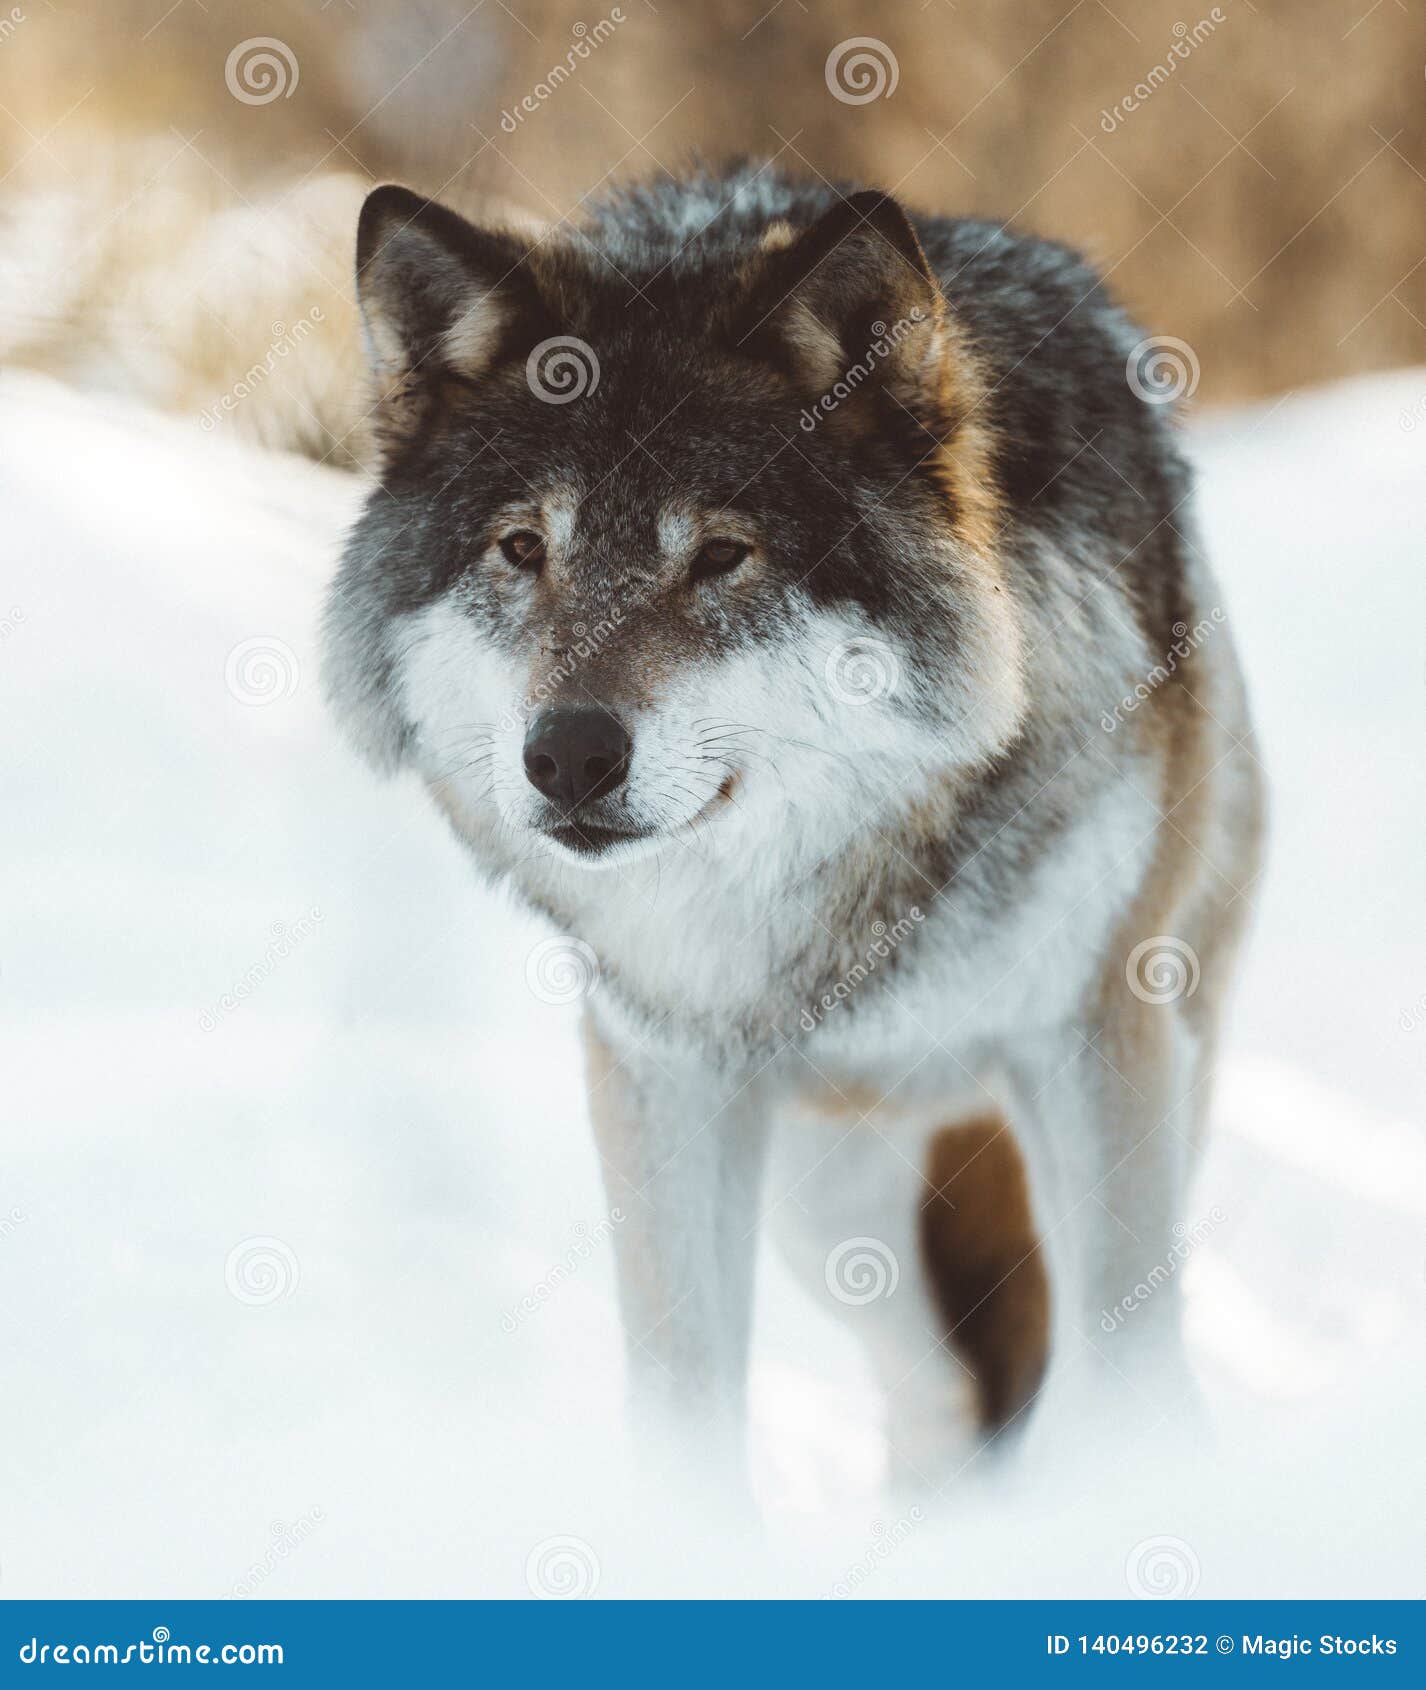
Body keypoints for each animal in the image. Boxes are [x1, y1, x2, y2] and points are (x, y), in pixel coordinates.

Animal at [323, 163, 1264, 1489]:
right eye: (521, 548)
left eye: (722, 555)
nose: (567, 756)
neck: (843, 888)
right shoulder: (664, 1075)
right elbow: (682, 1400)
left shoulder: (1091, 1035)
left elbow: (1128, 1375)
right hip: (830, 1204)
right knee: (944, 1395)